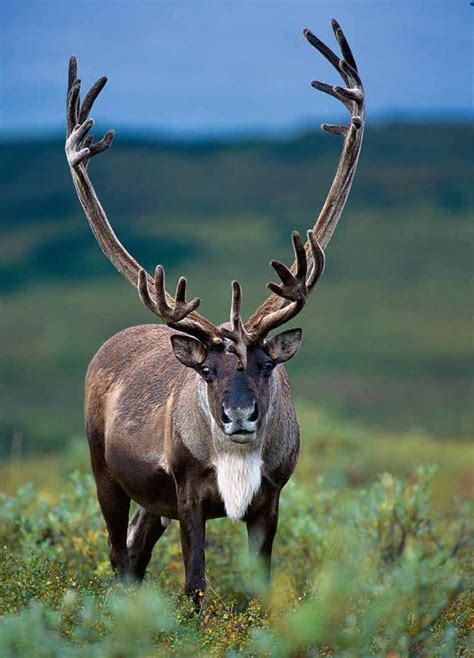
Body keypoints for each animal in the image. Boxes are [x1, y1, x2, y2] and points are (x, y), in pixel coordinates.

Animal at [65, 19, 364, 610]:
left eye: (266, 365)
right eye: (207, 369)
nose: (240, 416)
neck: (236, 463)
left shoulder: (271, 499)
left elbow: (257, 588)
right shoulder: (187, 495)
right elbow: (196, 585)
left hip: (150, 502)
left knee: (136, 553)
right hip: (105, 473)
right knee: (116, 552)